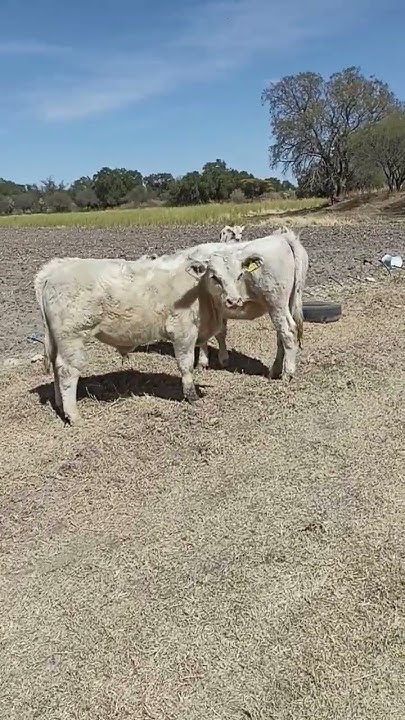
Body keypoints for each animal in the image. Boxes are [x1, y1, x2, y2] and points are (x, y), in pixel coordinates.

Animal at [34, 251, 247, 425]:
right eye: (215, 276)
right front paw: (191, 395)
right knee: (67, 371)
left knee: (56, 367)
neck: (199, 291)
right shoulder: (183, 332)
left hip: (56, 341)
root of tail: (55, 269)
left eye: (239, 275)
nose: (234, 301)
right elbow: (186, 365)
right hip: (72, 338)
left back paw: (60, 405)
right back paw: (74, 416)